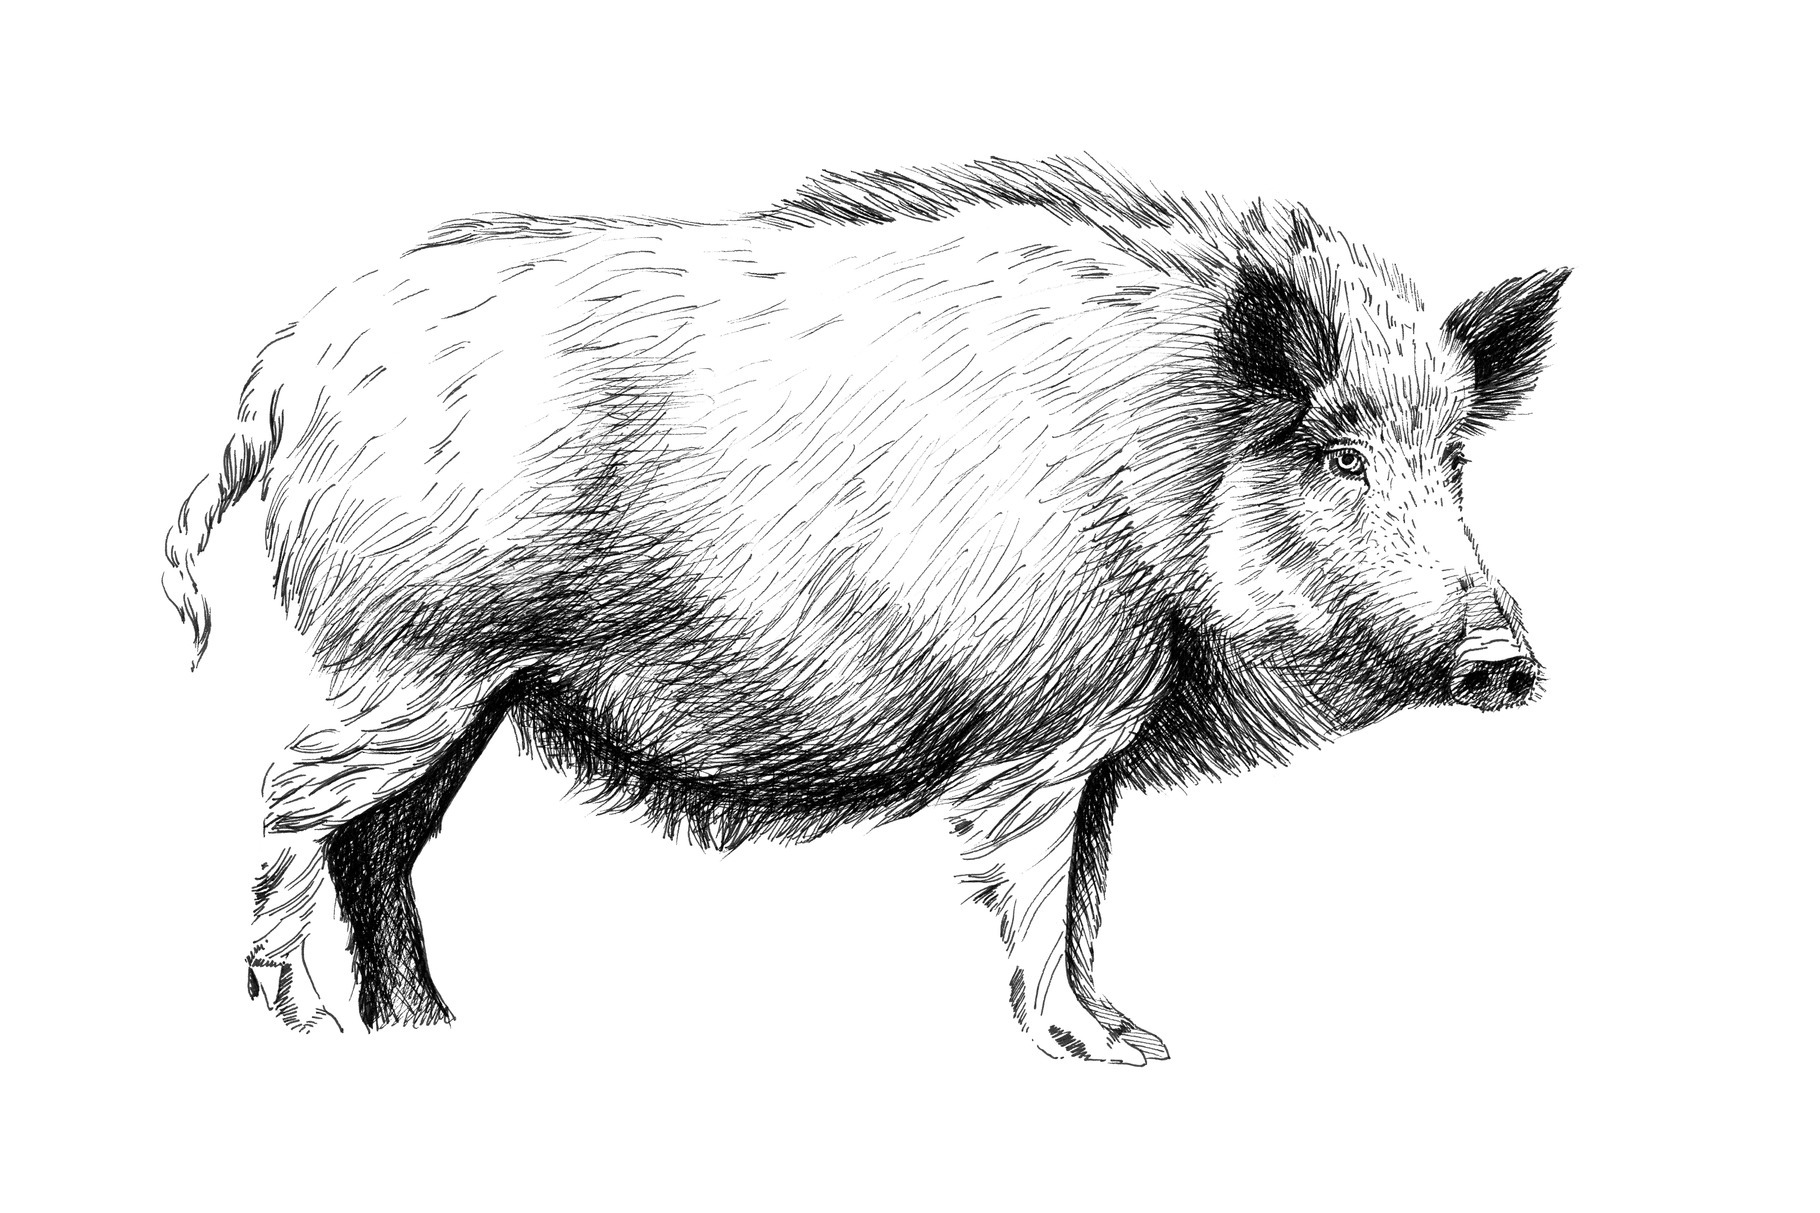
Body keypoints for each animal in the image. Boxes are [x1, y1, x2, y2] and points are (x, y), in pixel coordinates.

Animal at [164, 156, 1567, 1062]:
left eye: (1452, 459)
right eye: (1339, 454)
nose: (1506, 659)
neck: (1163, 468)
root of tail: (287, 368)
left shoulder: (1096, 745)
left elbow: (1088, 890)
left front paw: (1136, 1035)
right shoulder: (1043, 727)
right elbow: (1031, 883)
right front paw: (1098, 1051)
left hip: (467, 685)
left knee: (381, 840)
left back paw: (427, 1030)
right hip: (407, 654)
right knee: (291, 797)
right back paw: (308, 1024)